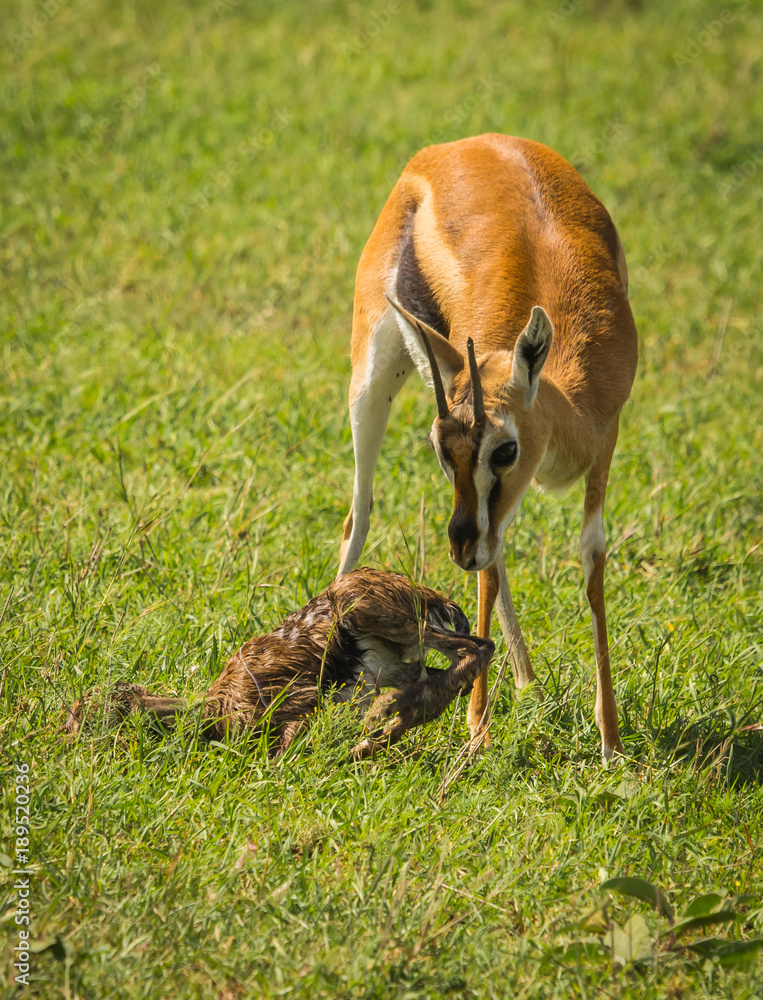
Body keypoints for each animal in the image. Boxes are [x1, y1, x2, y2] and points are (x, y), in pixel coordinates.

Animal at [66, 568, 494, 759]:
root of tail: (425, 594)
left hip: (370, 608)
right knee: (448, 668)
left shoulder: (294, 701)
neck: (215, 709)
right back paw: (377, 733)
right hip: (391, 660)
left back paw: (381, 719)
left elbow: (285, 747)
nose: (64, 735)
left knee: (477, 648)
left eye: (83, 713)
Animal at [338, 134, 638, 759]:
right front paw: (477, 730)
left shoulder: (607, 440)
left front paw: (611, 742)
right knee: (361, 515)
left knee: (489, 549)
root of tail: (460, 145)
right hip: (372, 376)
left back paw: (527, 680)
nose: (457, 549)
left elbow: (592, 559)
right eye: (439, 450)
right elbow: (490, 572)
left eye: (505, 450)